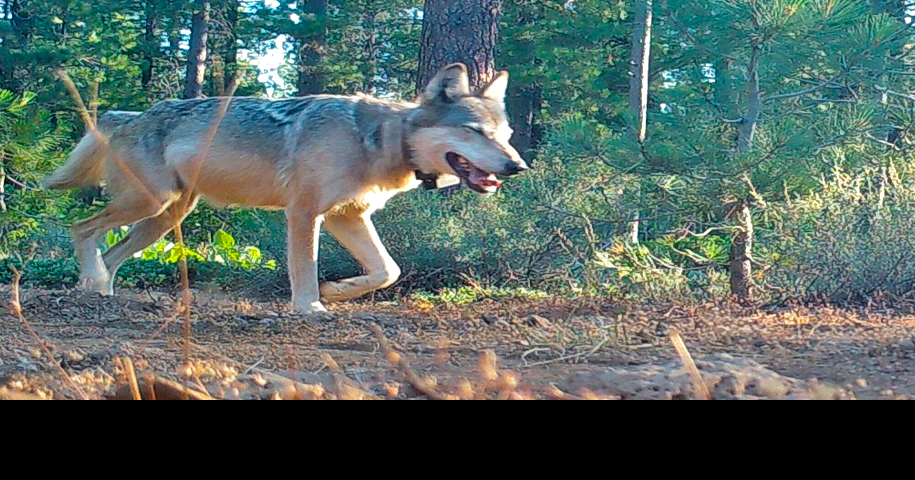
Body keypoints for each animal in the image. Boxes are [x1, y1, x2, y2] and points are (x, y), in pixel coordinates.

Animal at [42, 64, 529, 313]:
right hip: (150, 205)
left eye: (504, 135)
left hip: (163, 218)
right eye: (473, 132)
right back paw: (93, 284)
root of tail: (125, 115)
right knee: (81, 229)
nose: (517, 166)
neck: (376, 140)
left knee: (108, 252)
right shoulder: (305, 213)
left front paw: (336, 291)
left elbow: (387, 271)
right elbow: (304, 268)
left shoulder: (348, 216)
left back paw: (98, 290)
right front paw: (311, 307)